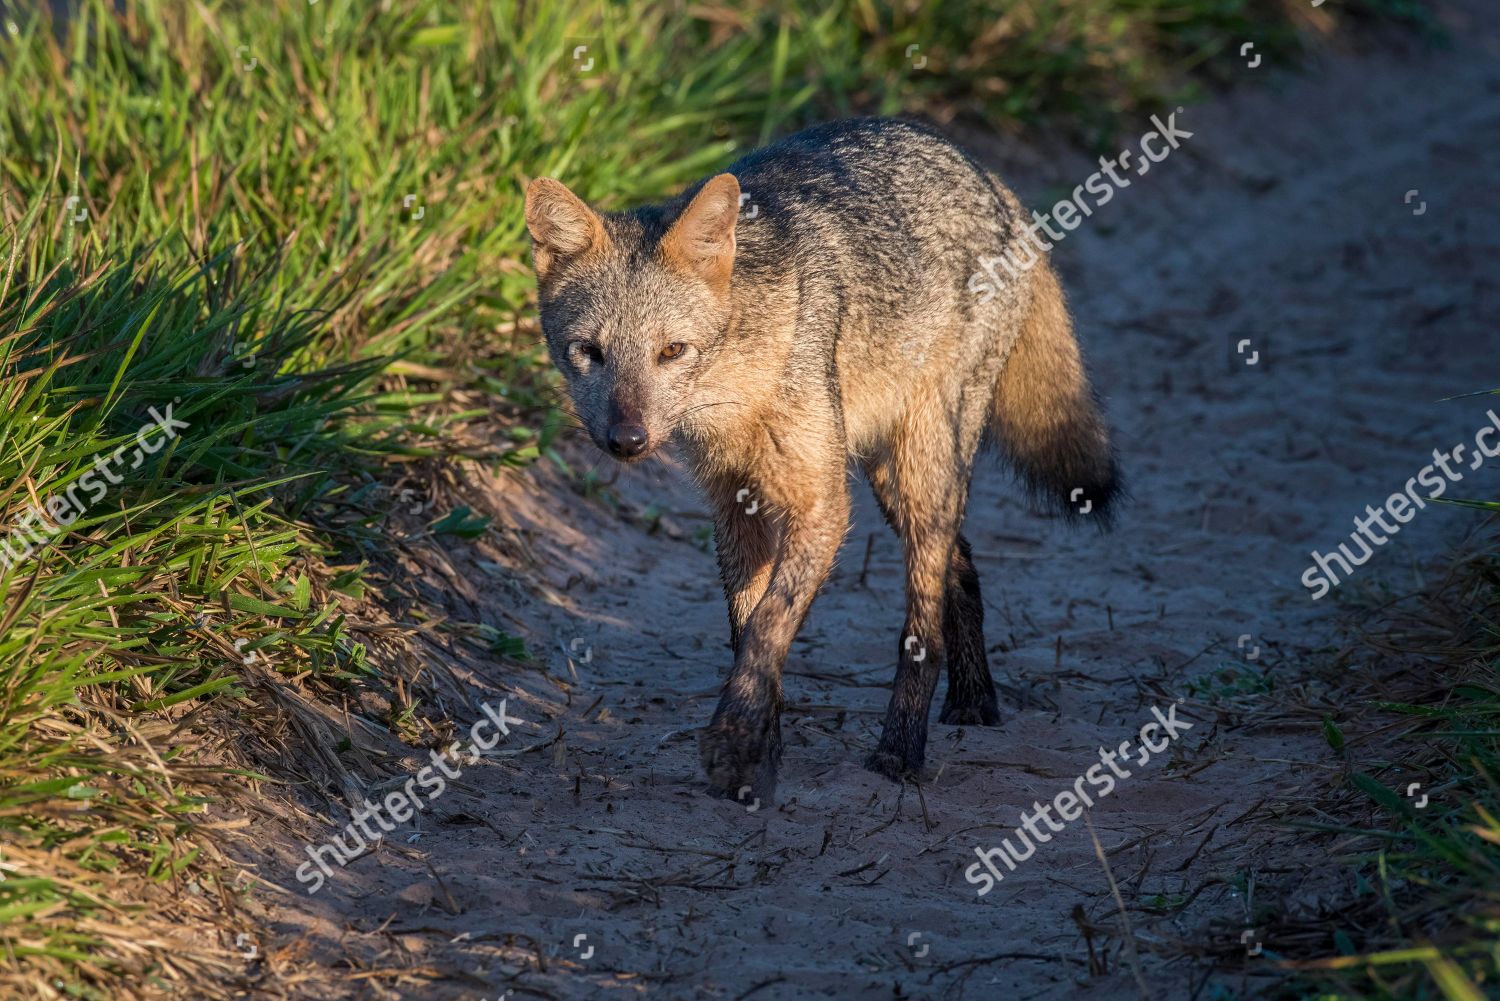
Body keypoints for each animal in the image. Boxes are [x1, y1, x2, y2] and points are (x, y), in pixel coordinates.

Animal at [523, 117, 1119, 803]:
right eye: (588, 352)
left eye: (672, 351)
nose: (627, 440)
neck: (737, 394)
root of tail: (983, 171)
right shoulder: (735, 506)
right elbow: (745, 633)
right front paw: (763, 751)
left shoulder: (821, 505)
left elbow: (768, 629)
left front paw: (734, 746)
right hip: (895, 484)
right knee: (962, 566)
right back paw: (975, 703)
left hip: (919, 473)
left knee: (924, 625)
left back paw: (901, 750)